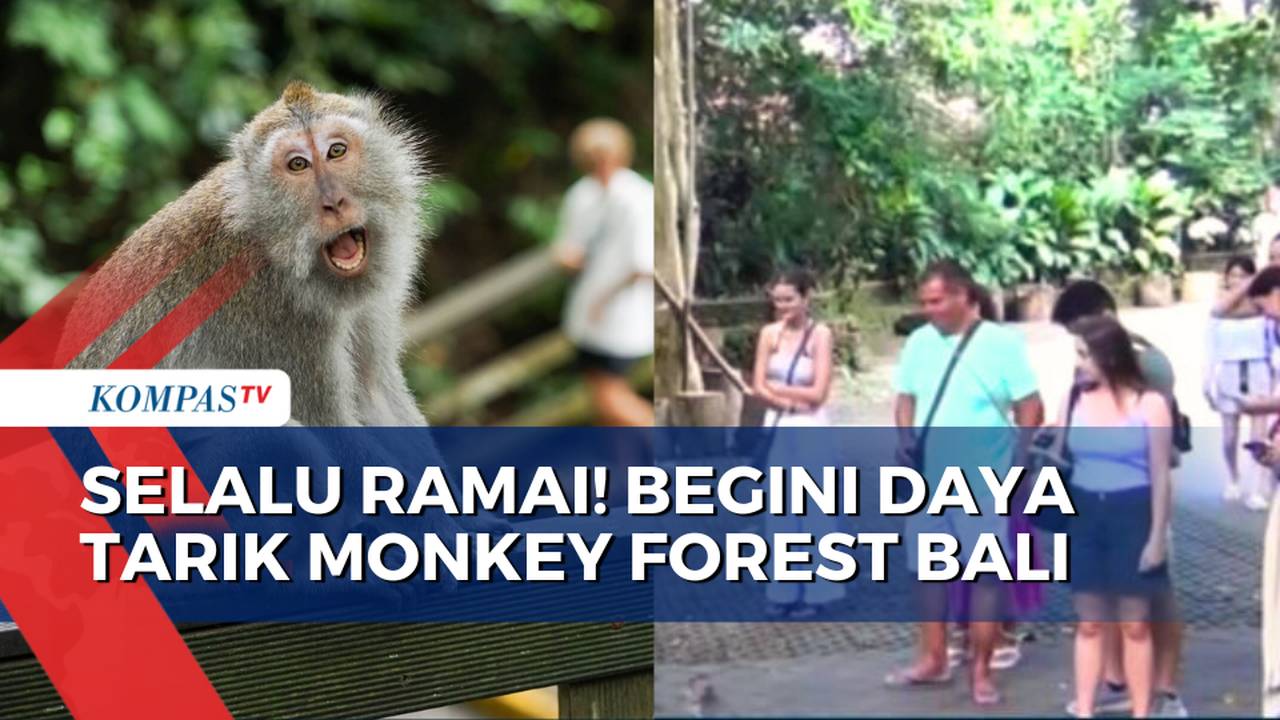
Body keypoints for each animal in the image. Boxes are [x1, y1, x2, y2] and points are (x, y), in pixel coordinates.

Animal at [59, 82, 429, 427]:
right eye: (298, 164)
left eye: (337, 151)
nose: (334, 202)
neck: (270, 244)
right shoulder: (277, 320)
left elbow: (375, 392)